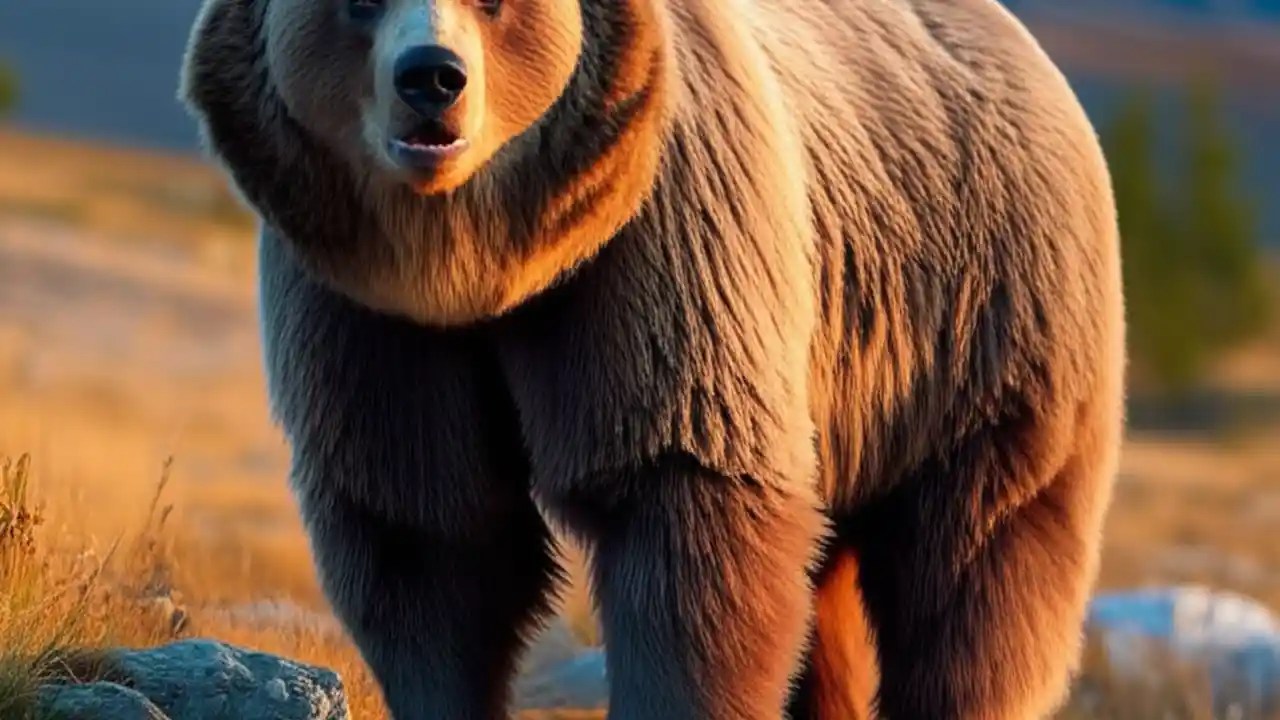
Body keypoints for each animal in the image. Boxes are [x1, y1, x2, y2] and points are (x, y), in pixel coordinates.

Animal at [179, 0, 1126, 718]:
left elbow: (684, 509)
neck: (480, 266)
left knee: (976, 574)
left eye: (495, 1)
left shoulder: (663, 240)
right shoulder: (371, 315)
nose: (432, 80)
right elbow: (430, 531)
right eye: (359, 1)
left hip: (975, 329)